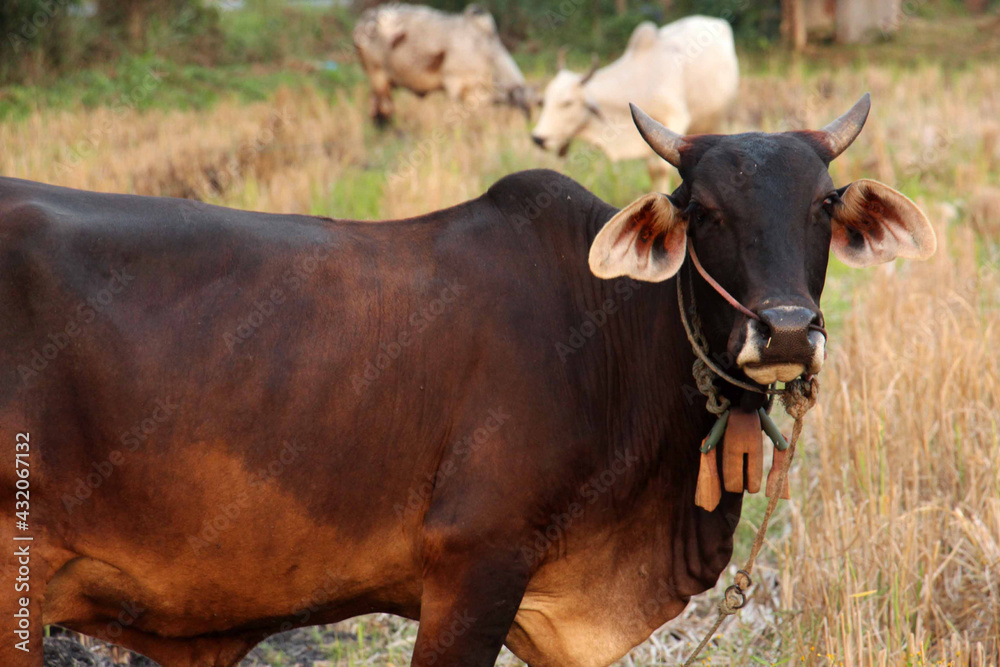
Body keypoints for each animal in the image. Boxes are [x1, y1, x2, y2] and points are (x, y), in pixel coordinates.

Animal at [353, 3, 533, 125]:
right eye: (522, 108)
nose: (528, 124)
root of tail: (363, 20)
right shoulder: (454, 82)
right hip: (378, 76)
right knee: (384, 111)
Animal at [531, 16, 739, 189]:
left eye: (568, 103)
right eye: (544, 102)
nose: (538, 138)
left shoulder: (675, 117)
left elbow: (662, 169)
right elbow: (653, 170)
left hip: (719, 119)